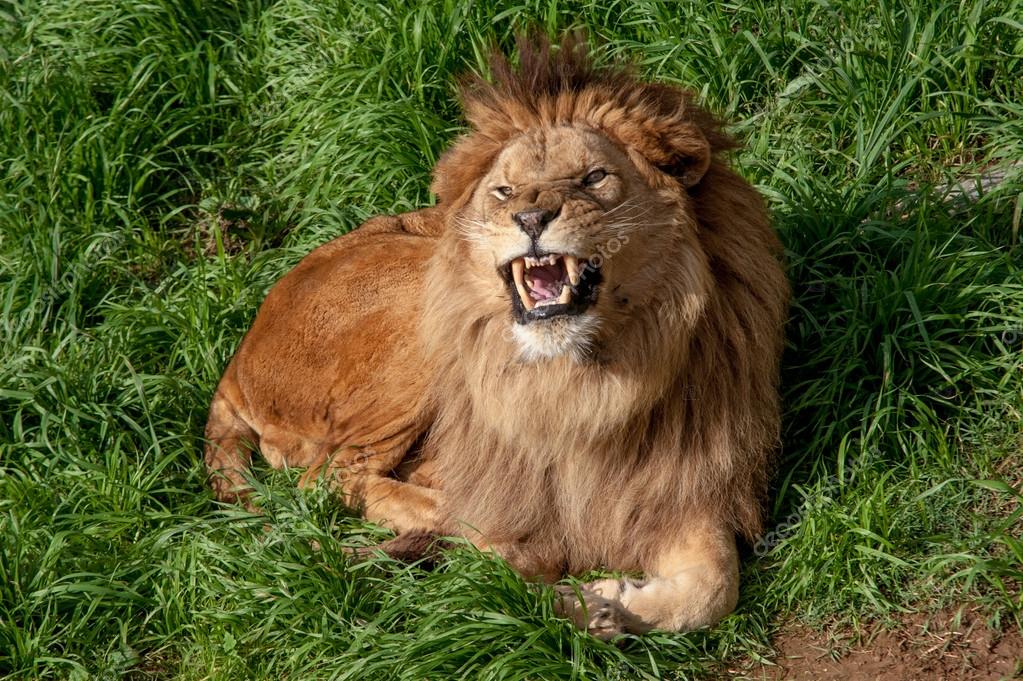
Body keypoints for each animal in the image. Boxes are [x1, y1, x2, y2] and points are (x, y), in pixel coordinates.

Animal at [204, 34, 789, 639]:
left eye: (594, 178)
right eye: (504, 191)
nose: (530, 218)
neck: (579, 380)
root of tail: (237, 362)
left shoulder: (680, 489)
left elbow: (714, 588)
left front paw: (604, 605)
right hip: (420, 308)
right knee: (332, 477)